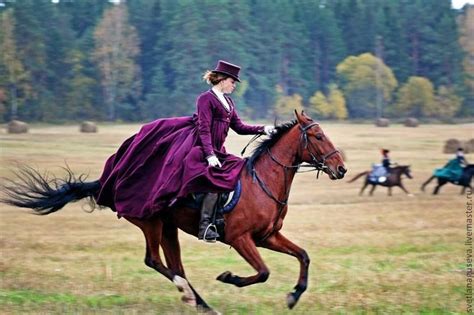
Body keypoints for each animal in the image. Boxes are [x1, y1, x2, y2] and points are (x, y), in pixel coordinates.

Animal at [1, 111, 346, 314]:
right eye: (317, 136)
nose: (341, 169)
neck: (263, 181)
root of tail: (108, 181)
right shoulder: (241, 239)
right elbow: (262, 272)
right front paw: (229, 277)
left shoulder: (267, 236)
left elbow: (303, 256)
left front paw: (294, 295)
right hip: (150, 222)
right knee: (155, 261)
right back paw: (188, 294)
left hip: (168, 227)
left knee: (174, 264)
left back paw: (202, 303)